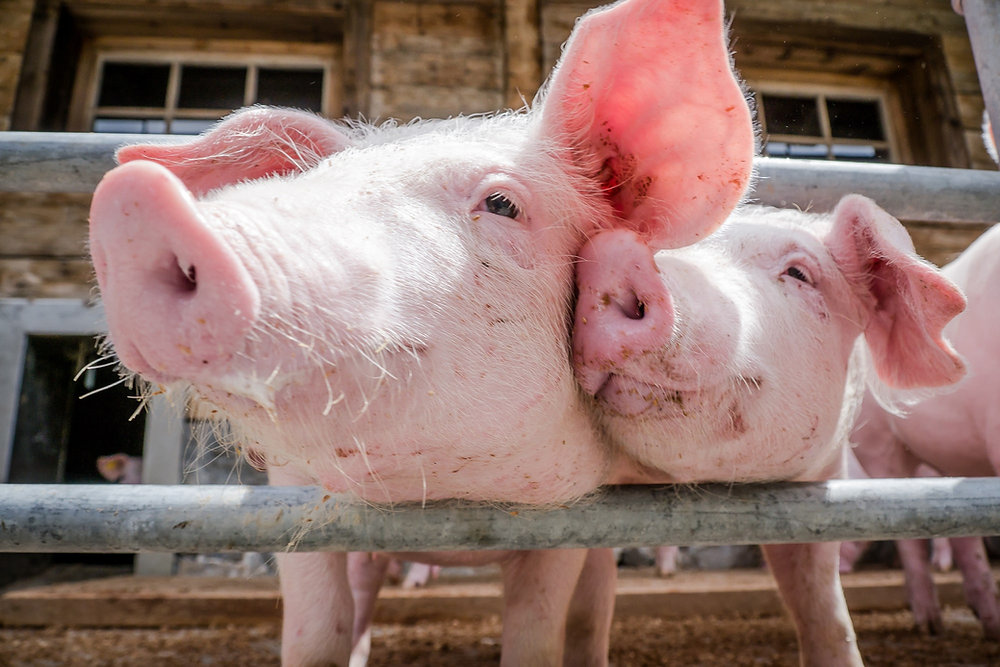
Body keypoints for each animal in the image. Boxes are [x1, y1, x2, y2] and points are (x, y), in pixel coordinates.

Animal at [86, 0, 754, 664]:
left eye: (503, 204)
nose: (132, 197)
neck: (442, 494)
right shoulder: (293, 494)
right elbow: (316, 629)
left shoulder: (570, 510)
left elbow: (536, 630)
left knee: (594, 613)